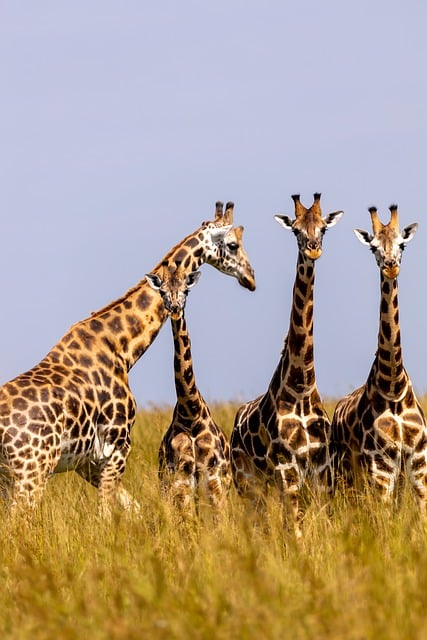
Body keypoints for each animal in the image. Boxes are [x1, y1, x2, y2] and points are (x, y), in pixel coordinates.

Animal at [148, 262, 234, 512]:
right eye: (162, 292)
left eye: (186, 290)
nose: (175, 308)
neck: (191, 412)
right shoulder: (181, 480)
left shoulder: (213, 479)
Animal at [231, 192, 344, 536]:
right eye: (295, 230)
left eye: (323, 227)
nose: (313, 248)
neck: (301, 386)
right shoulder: (286, 466)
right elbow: (296, 530)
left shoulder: (320, 468)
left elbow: (320, 524)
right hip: (247, 480)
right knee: (257, 521)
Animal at [332, 202, 427, 508]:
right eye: (373, 247)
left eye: (402, 244)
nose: (390, 266)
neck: (393, 385)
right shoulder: (380, 466)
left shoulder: (418, 462)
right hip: (347, 471)